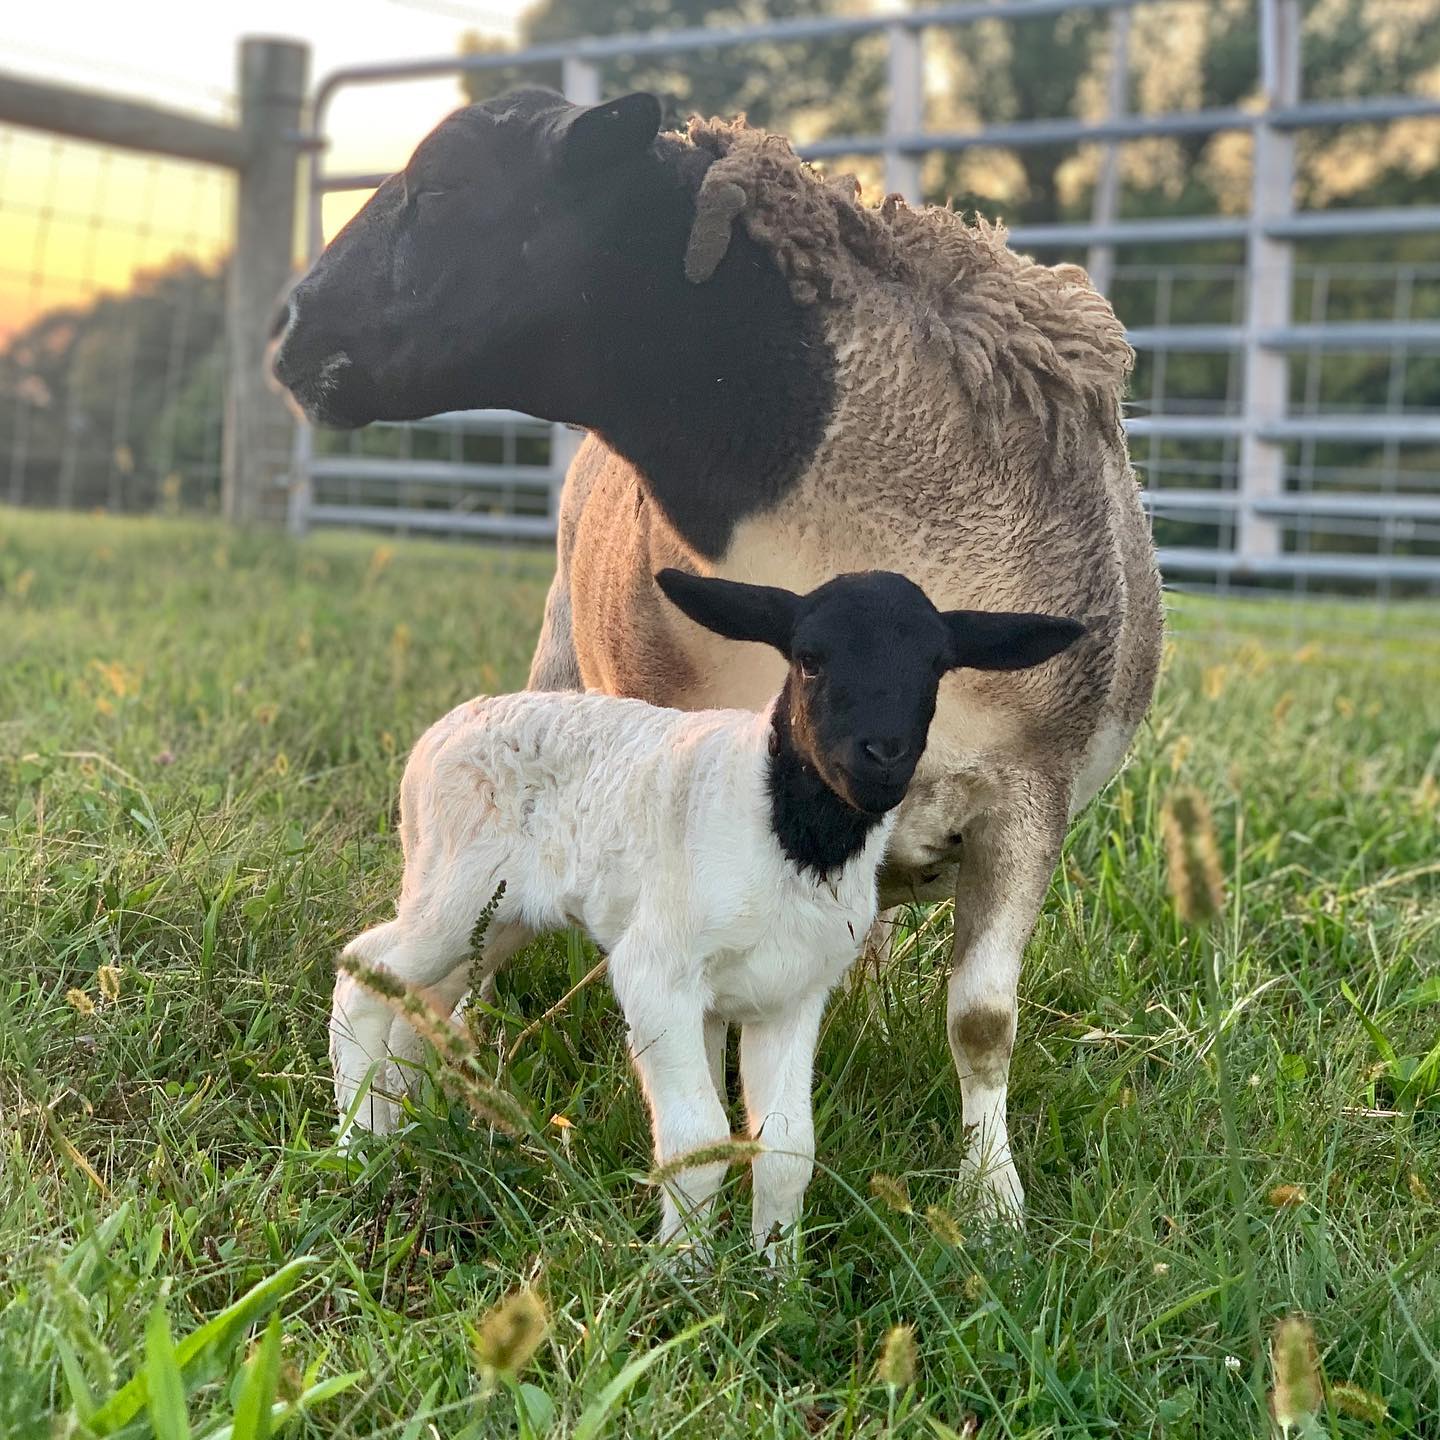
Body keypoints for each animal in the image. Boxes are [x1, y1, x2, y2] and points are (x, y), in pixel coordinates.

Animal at [331, 568, 1082, 1261]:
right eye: (810, 659)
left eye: (935, 668)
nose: (882, 760)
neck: (790, 834)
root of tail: (441, 734)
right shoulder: (656, 974)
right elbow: (699, 1142)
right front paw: (683, 1276)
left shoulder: (789, 995)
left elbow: (788, 1150)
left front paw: (775, 1275)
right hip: (453, 888)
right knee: (363, 972)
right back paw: (355, 1145)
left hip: (501, 915)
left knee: (416, 1000)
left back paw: (401, 1125)